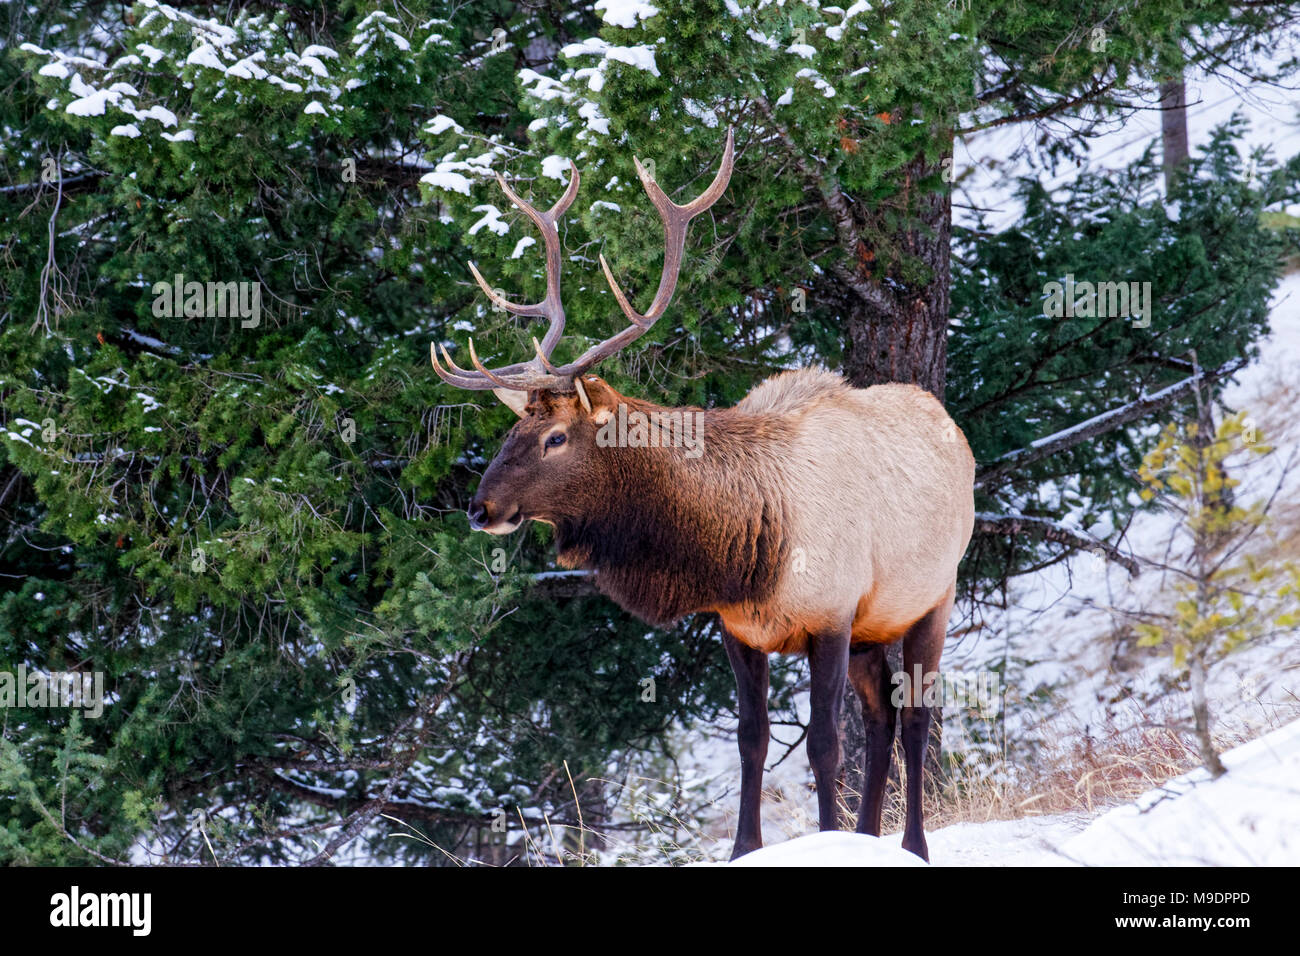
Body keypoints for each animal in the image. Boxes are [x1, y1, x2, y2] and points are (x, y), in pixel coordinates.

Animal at [429, 130, 975, 861]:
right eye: (513, 427)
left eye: (555, 438)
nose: (479, 508)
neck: (746, 547)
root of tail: (951, 426)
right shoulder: (739, 627)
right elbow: (753, 741)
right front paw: (748, 847)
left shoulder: (831, 613)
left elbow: (825, 746)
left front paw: (825, 840)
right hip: (874, 624)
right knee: (882, 717)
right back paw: (871, 838)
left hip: (932, 594)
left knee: (914, 719)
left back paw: (912, 844)